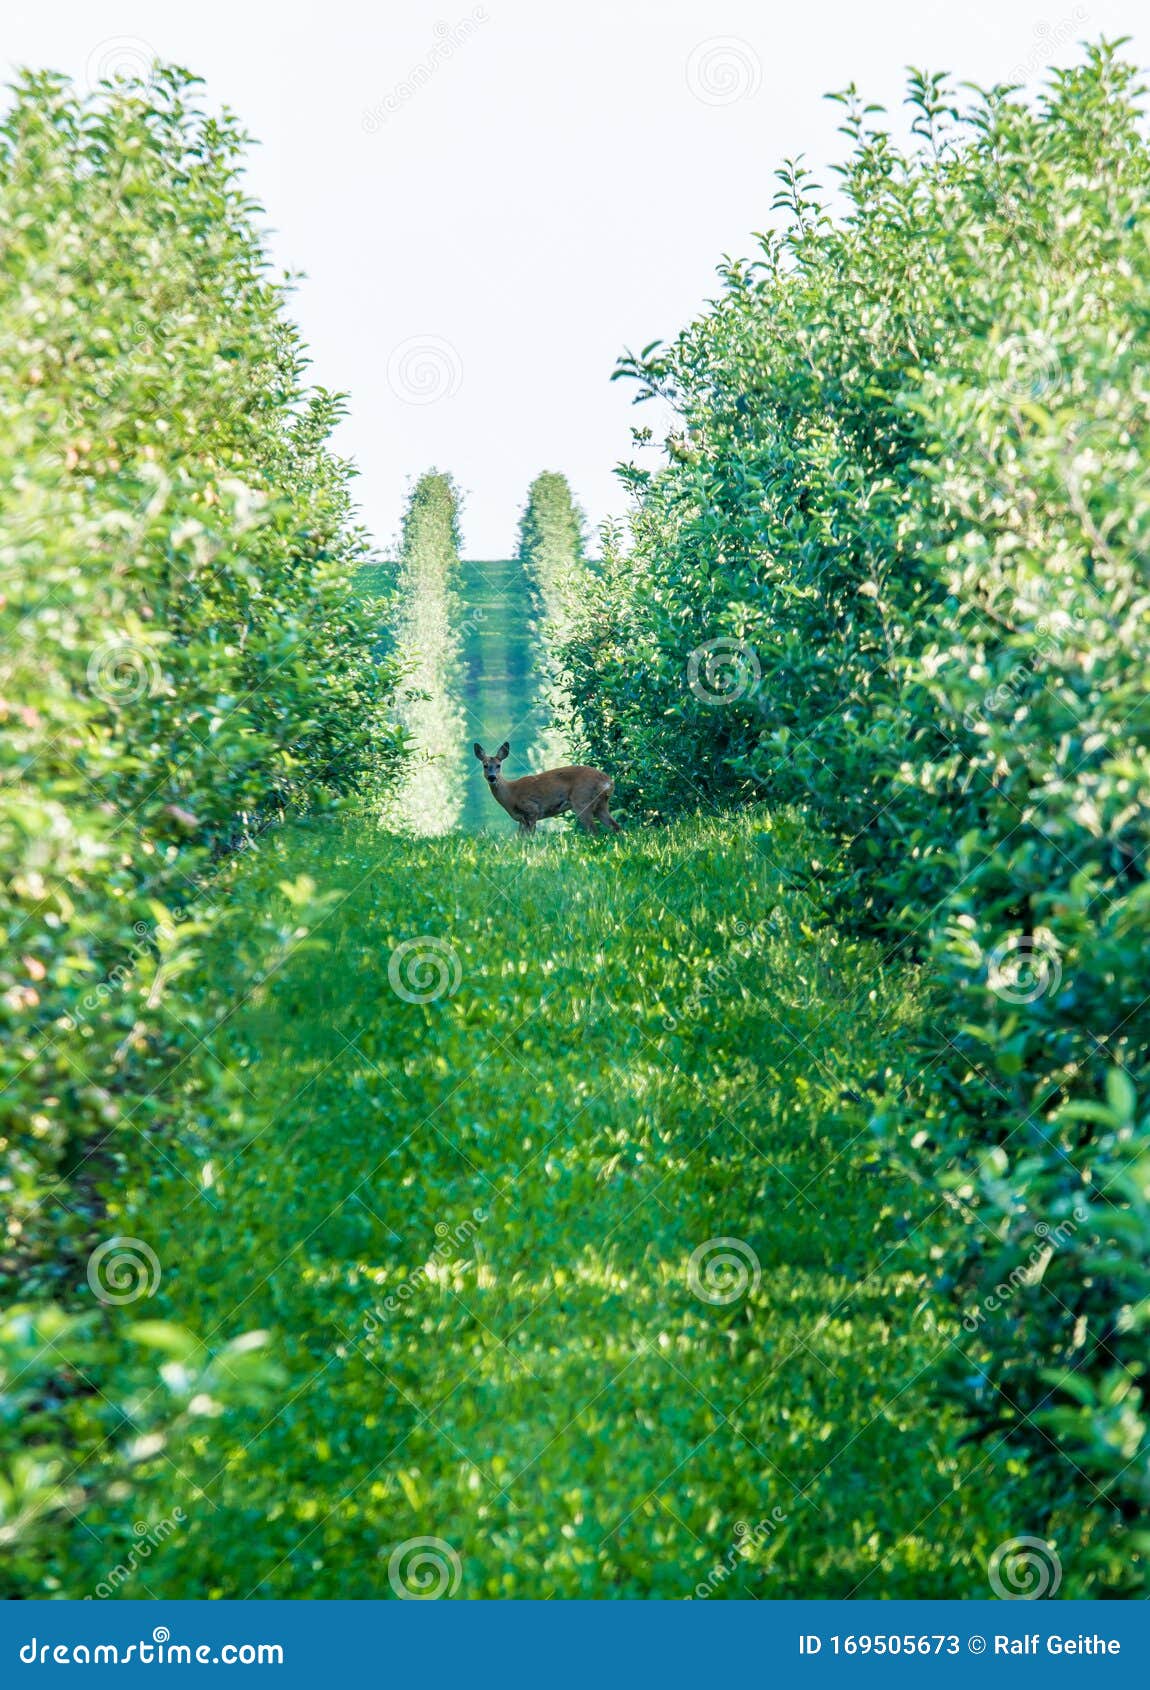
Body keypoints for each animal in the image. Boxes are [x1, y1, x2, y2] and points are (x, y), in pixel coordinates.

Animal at [473, 741, 620, 835]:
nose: (492, 777)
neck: (511, 794)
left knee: (594, 831)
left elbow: (530, 837)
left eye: (498, 765)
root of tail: (608, 781)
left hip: (582, 800)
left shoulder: (532, 809)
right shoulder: (521, 820)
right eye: (485, 765)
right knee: (616, 827)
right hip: (601, 804)